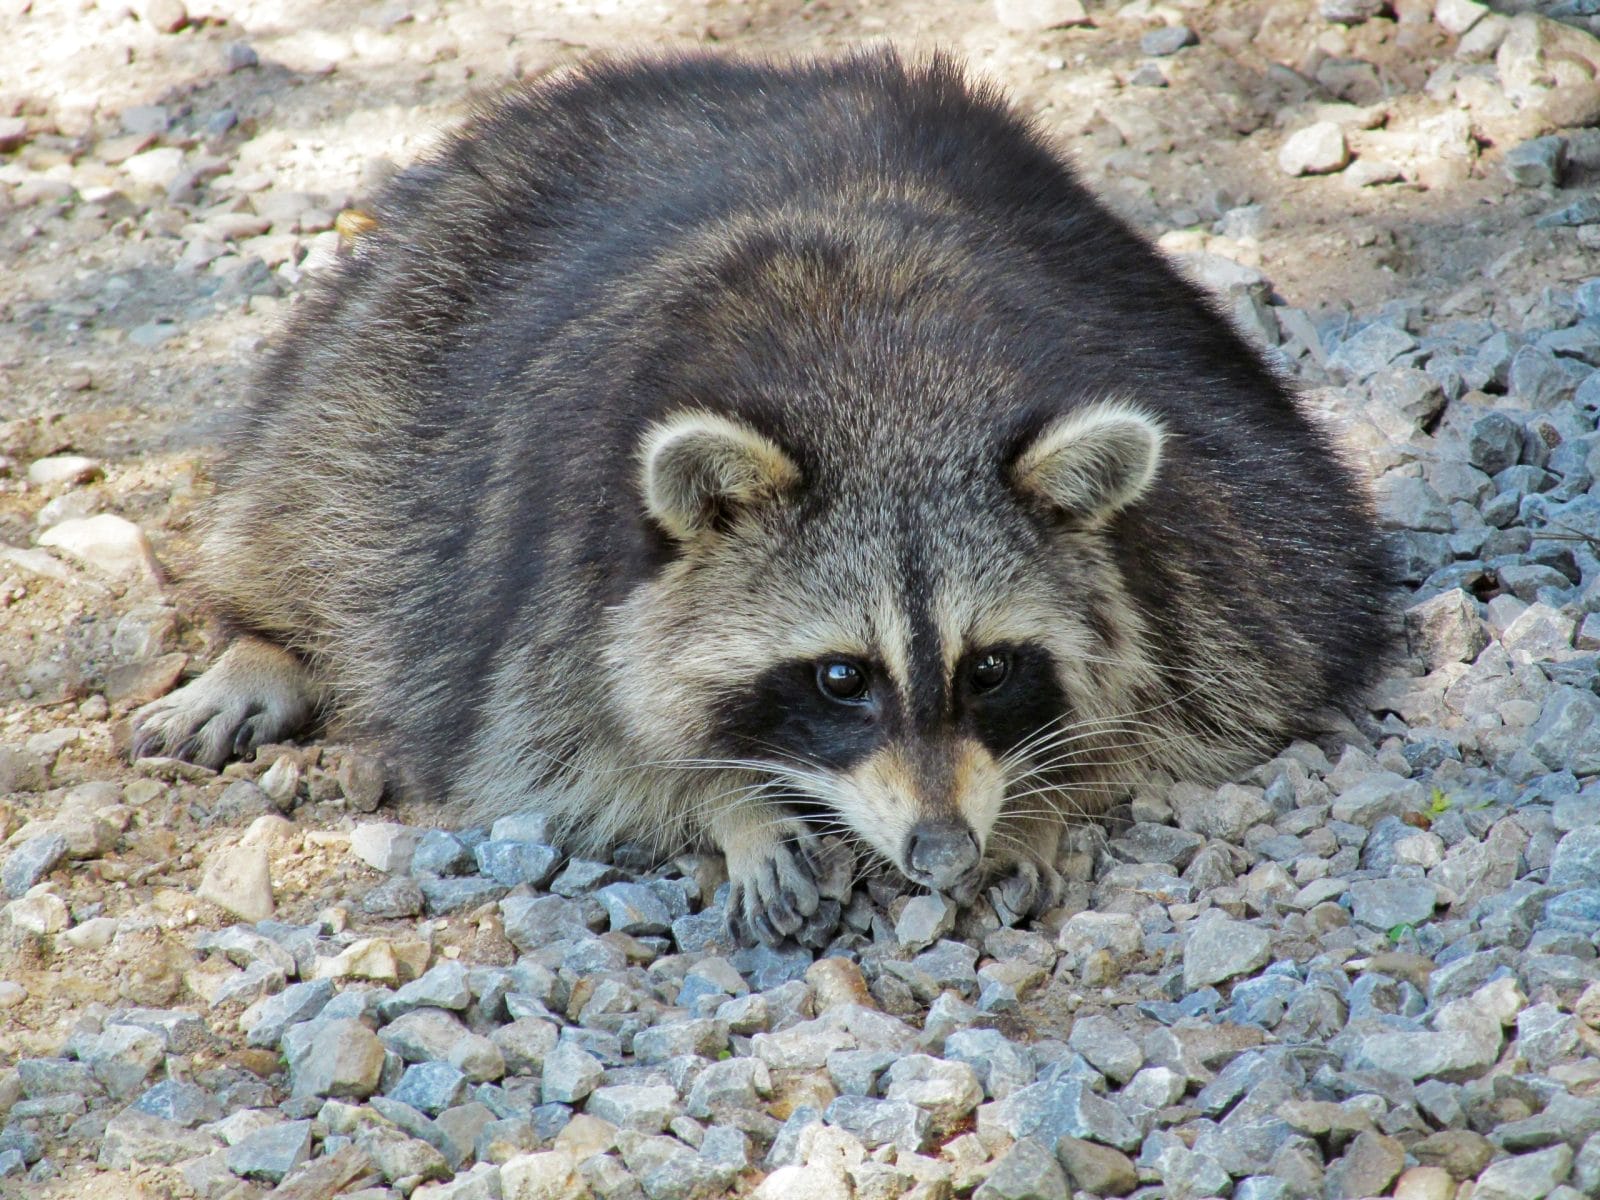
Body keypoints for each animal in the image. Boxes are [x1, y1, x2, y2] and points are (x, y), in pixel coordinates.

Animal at [132, 50, 1392, 944]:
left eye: (991, 669)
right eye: (840, 679)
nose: (938, 852)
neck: (886, 385)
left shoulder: (1221, 546)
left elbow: (1210, 700)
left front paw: (1039, 801)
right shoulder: (554, 570)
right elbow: (544, 750)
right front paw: (723, 803)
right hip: (395, 319)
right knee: (319, 479)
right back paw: (261, 634)